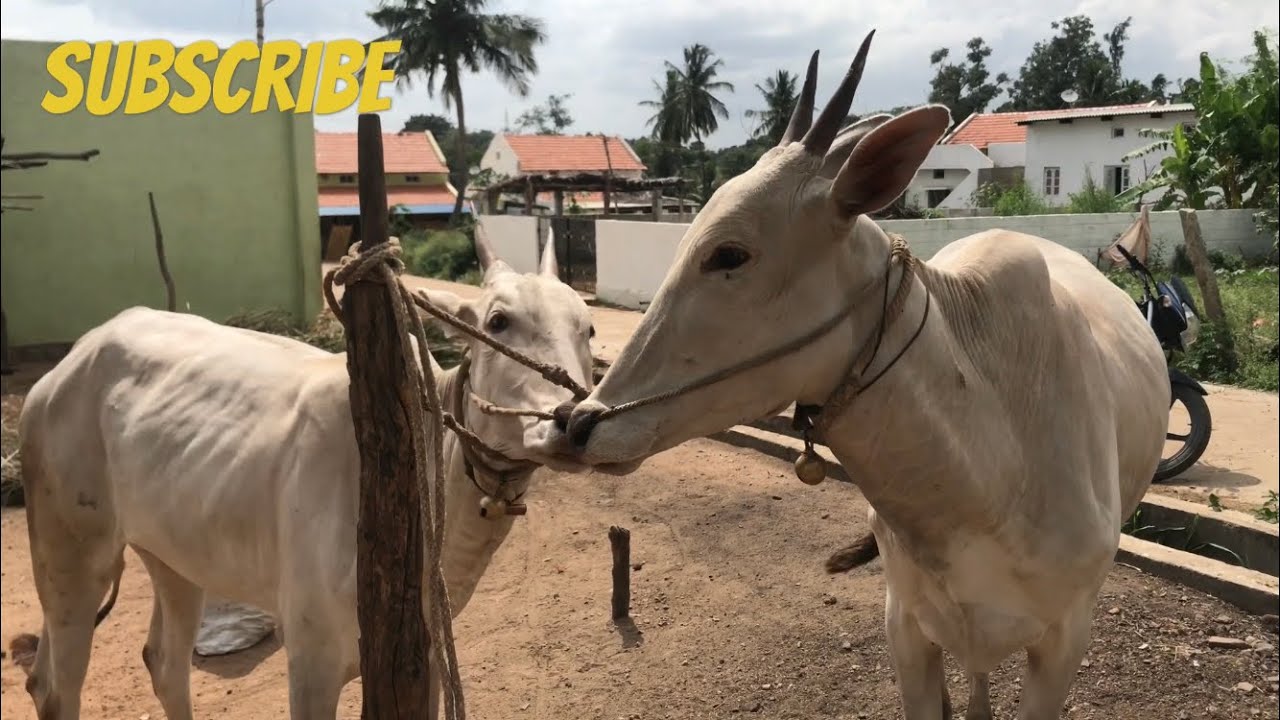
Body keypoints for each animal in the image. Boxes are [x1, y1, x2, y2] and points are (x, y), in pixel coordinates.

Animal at [13, 232, 595, 719]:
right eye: (497, 321)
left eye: (586, 328)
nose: (574, 419)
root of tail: (70, 361)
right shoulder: (312, 656)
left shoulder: (427, 657)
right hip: (68, 549)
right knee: (56, 686)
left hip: (174, 555)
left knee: (161, 663)